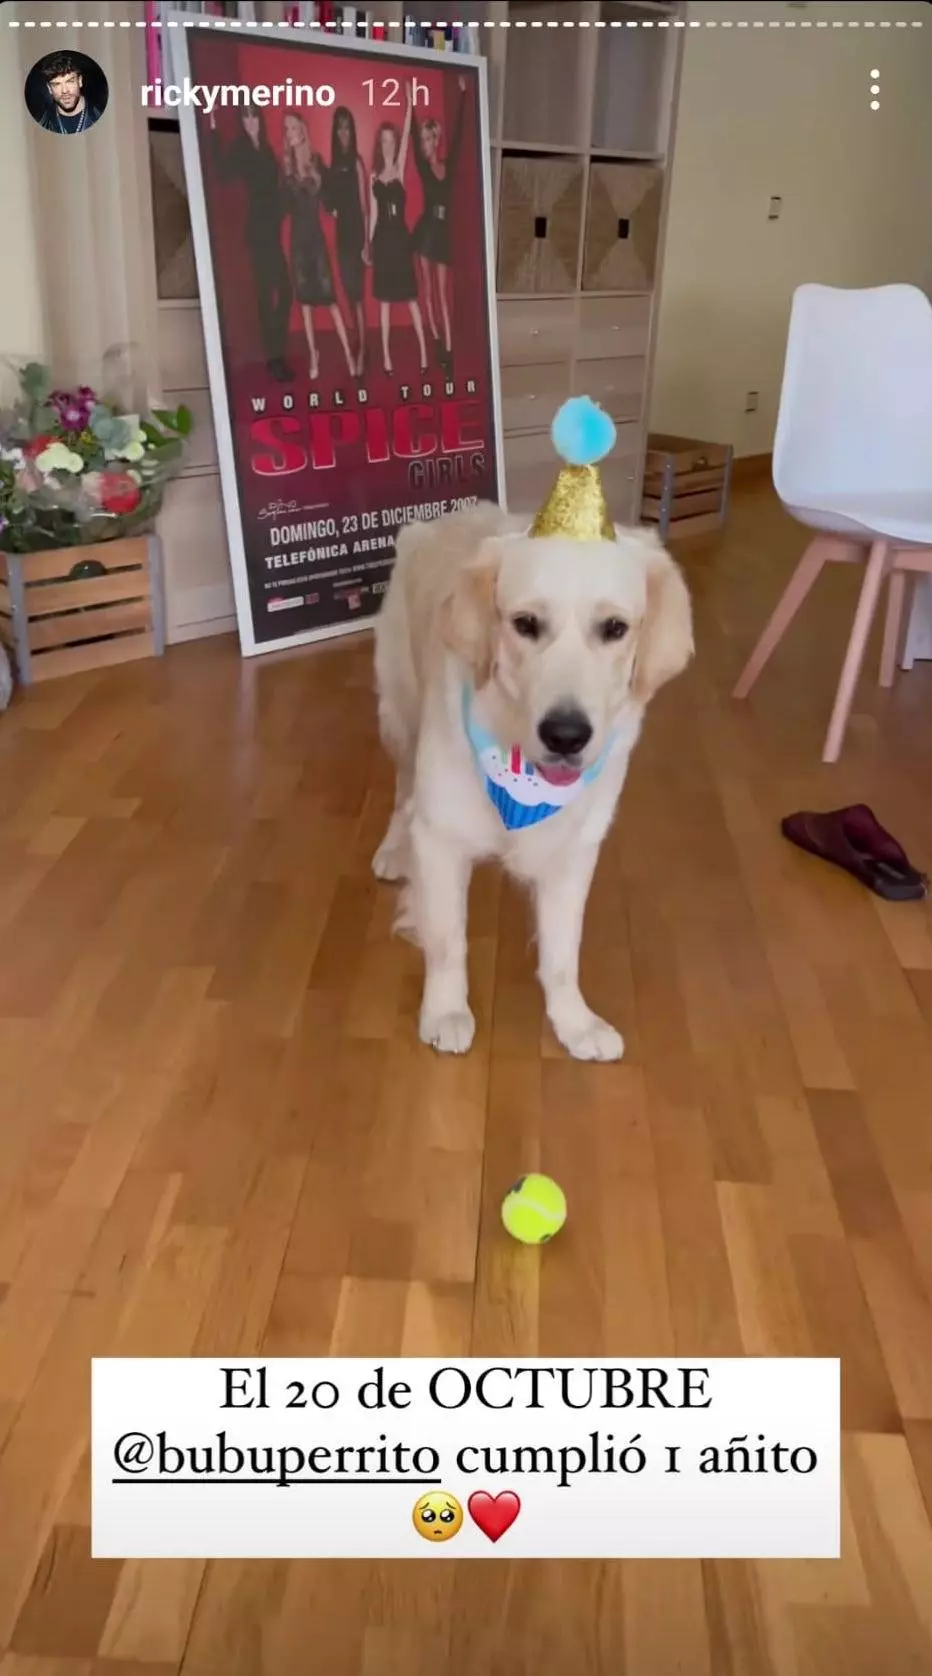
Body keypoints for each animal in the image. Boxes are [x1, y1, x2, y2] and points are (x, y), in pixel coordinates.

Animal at [372, 492, 690, 1059]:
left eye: (615, 629)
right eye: (525, 624)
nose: (566, 735)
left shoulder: (575, 847)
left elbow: (563, 952)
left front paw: (574, 1021)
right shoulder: (441, 837)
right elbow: (447, 940)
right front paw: (446, 1011)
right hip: (401, 715)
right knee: (403, 789)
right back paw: (391, 850)